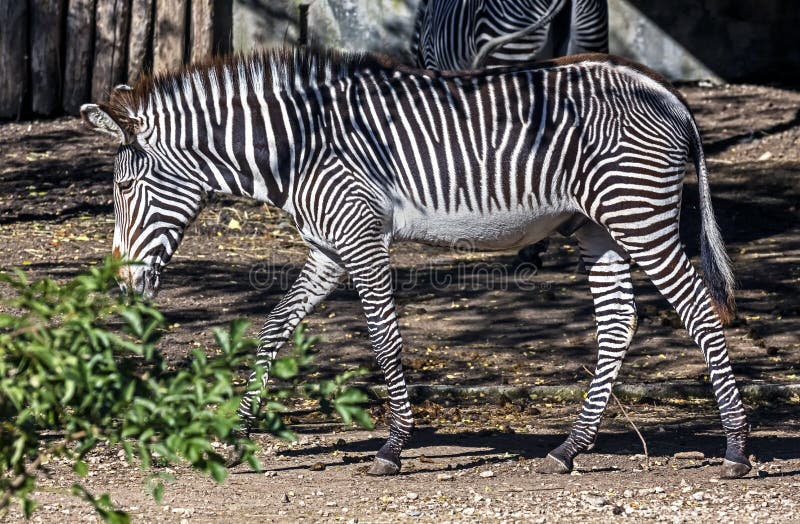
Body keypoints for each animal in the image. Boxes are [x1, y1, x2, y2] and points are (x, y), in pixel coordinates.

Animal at [80, 47, 751, 479]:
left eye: (122, 189)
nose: (120, 286)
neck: (298, 147)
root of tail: (661, 87)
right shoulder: (328, 246)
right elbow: (274, 327)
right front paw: (239, 429)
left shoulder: (360, 235)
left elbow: (383, 337)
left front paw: (393, 446)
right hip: (598, 226)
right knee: (618, 325)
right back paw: (568, 450)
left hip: (636, 213)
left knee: (699, 310)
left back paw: (738, 450)